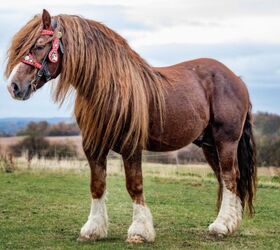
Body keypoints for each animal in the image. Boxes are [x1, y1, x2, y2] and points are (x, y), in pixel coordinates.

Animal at [4, 9, 256, 242]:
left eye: (39, 45)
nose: (14, 86)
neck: (108, 88)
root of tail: (236, 79)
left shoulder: (131, 146)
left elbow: (135, 185)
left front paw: (139, 232)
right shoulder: (92, 147)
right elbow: (97, 185)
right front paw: (93, 230)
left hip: (226, 141)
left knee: (229, 177)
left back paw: (222, 226)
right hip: (208, 144)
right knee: (225, 178)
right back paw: (229, 223)